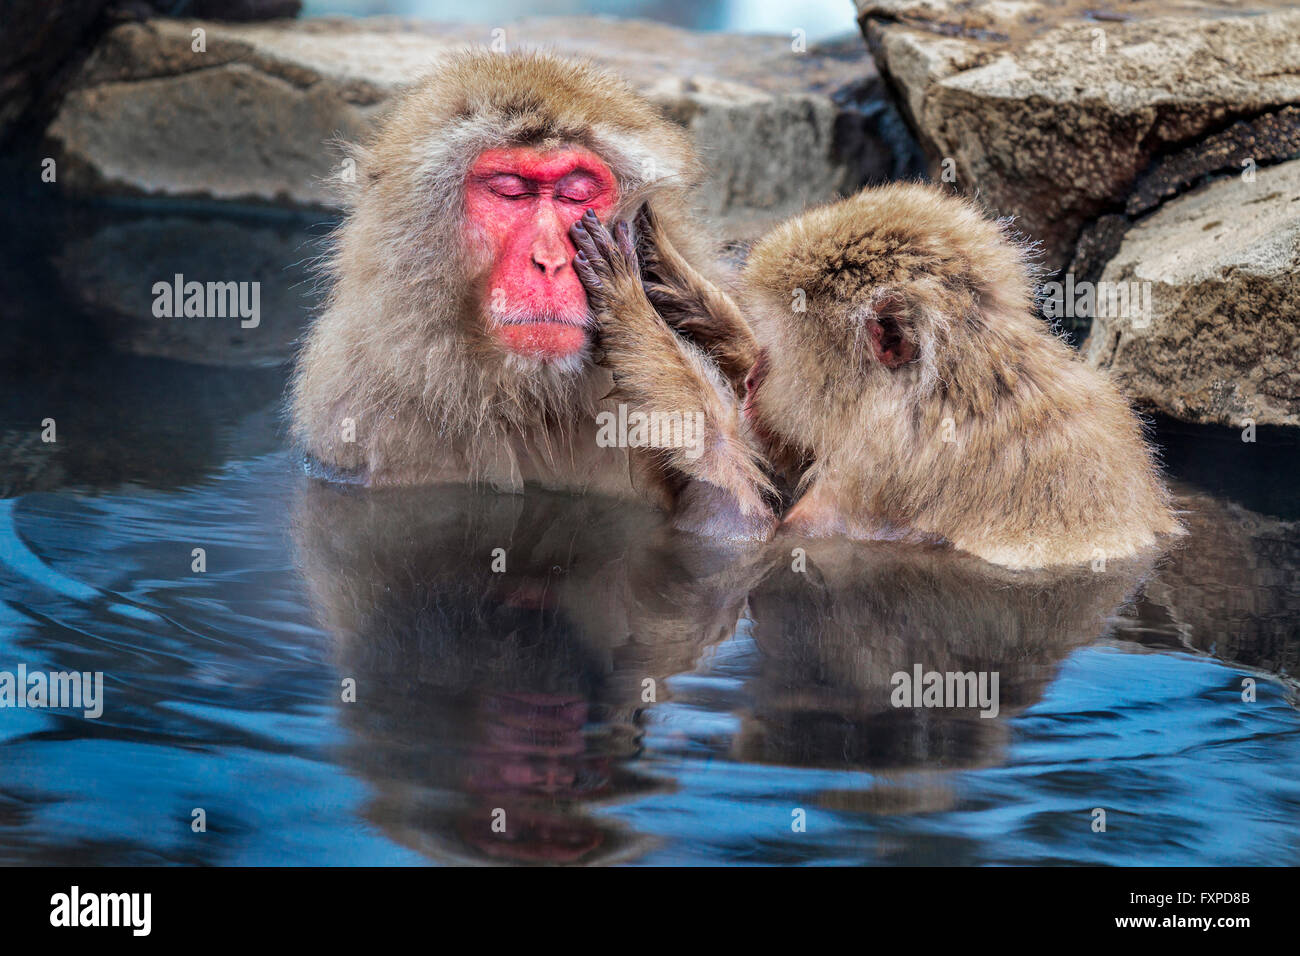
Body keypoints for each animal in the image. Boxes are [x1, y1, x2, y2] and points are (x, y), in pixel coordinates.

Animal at [289, 50, 774, 540]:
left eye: (574, 193)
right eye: (511, 191)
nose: (550, 261)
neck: (536, 405)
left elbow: (736, 531)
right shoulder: (357, 422)